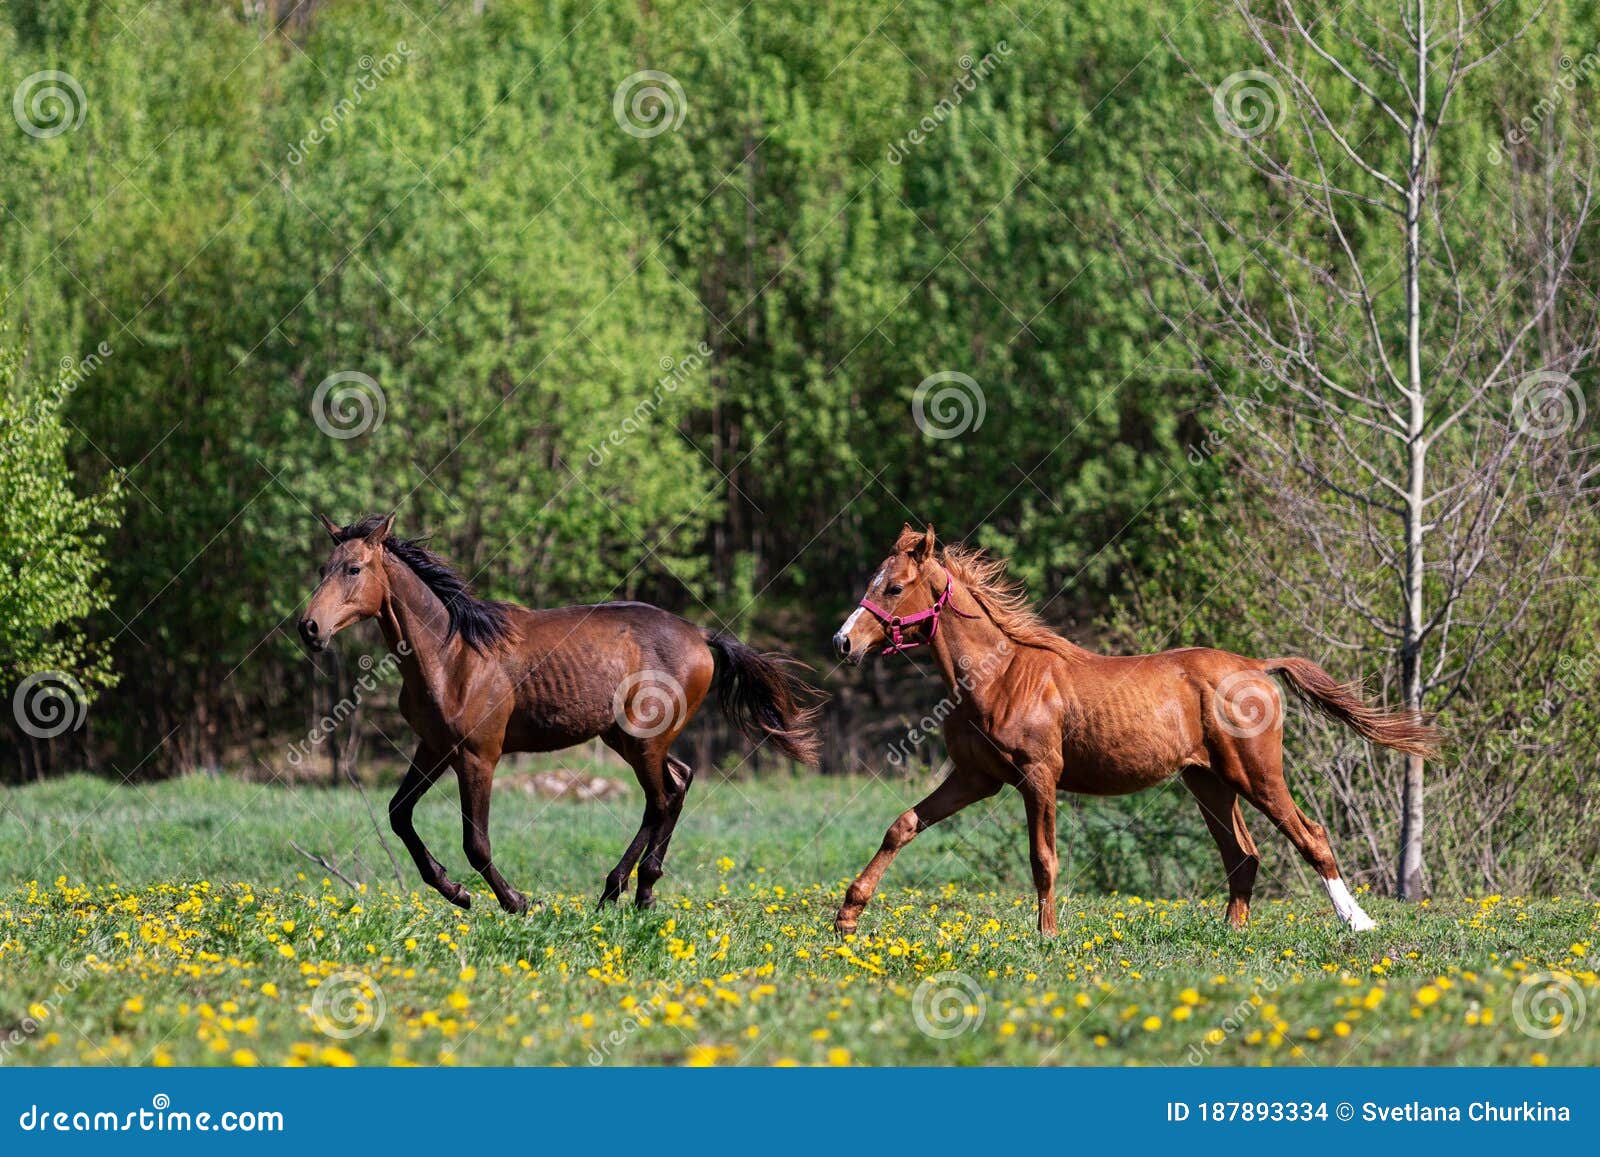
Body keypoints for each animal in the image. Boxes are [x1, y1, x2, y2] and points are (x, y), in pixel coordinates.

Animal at [297, 513, 820, 912]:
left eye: (354, 569)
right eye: (324, 566)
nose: (310, 627)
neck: (451, 654)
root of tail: (701, 635)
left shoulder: (479, 756)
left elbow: (476, 843)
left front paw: (514, 902)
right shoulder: (434, 747)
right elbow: (398, 813)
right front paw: (454, 891)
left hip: (645, 741)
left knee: (663, 798)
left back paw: (634, 892)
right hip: (625, 739)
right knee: (678, 783)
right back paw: (620, 892)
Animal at [830, 524, 1438, 936]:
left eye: (894, 587)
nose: (843, 642)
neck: (1000, 675)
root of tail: (1256, 666)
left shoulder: (1037, 777)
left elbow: (1043, 859)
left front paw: (1047, 937)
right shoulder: (977, 778)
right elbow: (902, 826)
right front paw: (848, 915)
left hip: (1256, 773)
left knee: (1310, 836)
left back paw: (1358, 922)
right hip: (1208, 781)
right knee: (1242, 855)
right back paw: (1232, 935)